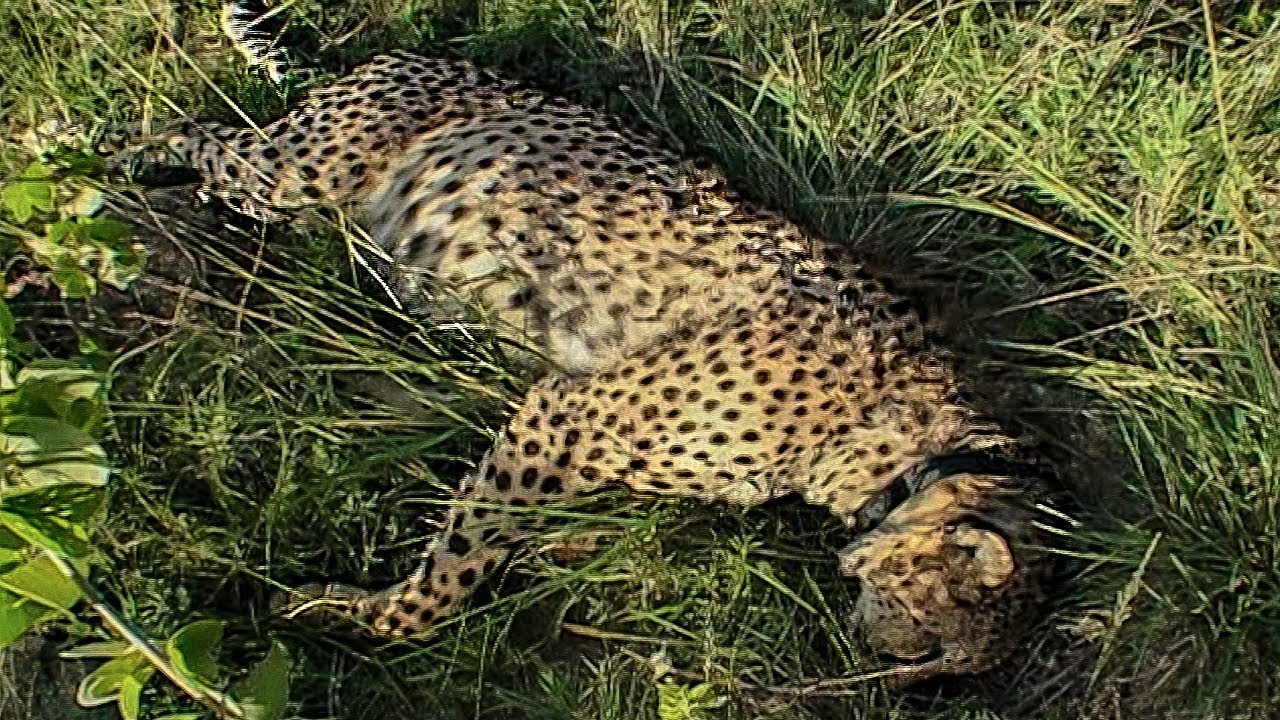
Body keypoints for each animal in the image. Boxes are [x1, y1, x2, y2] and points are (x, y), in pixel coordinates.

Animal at [94, 2, 1050, 681]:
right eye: (927, 636)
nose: (873, 655)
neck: (907, 440)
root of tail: (415, 56)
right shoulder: (566, 418)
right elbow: (455, 575)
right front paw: (347, 619)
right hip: (296, 170)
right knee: (194, 129)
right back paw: (98, 164)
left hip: (299, 200)